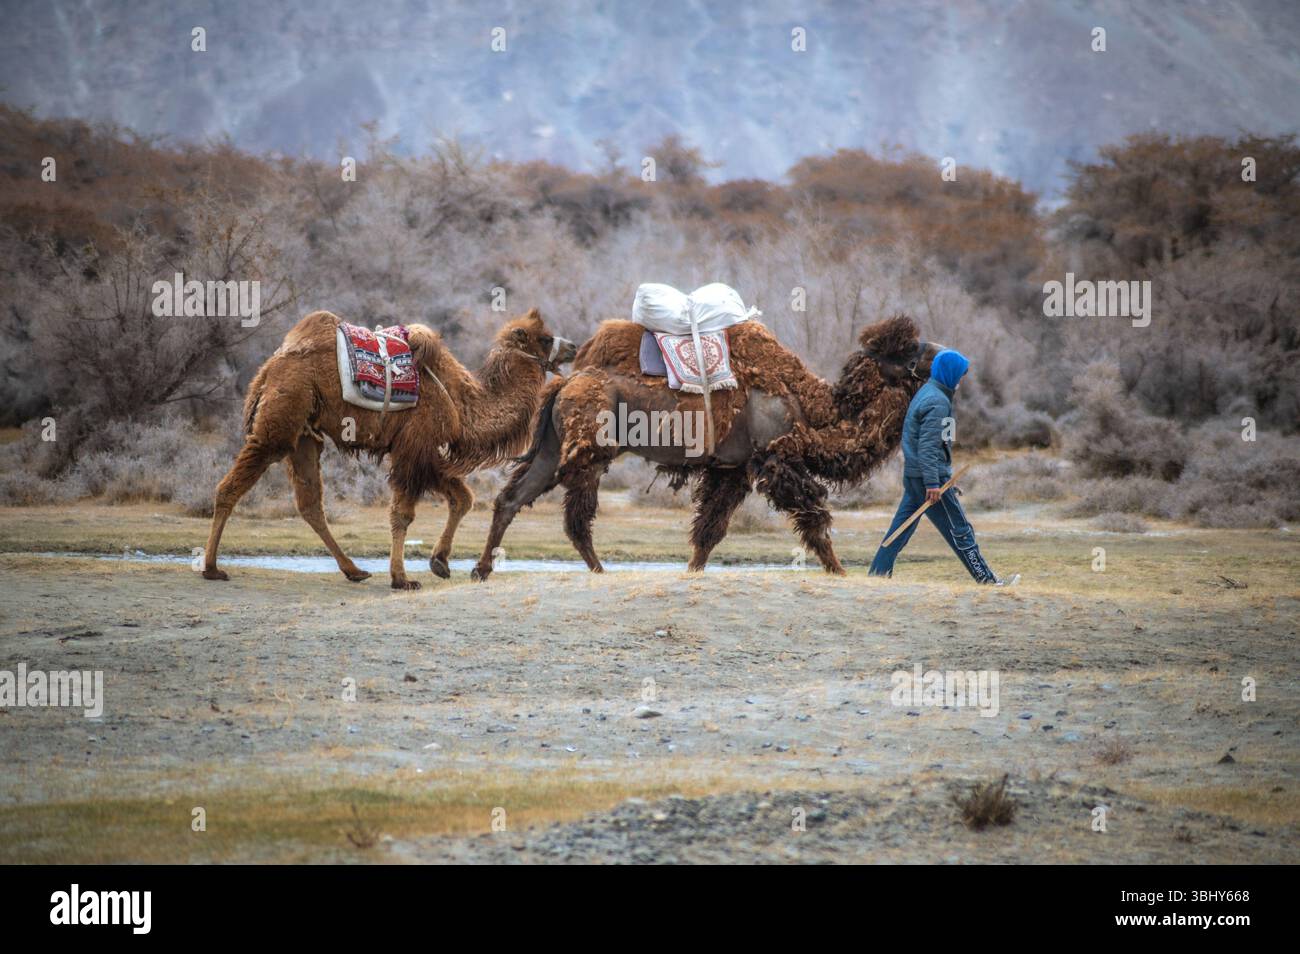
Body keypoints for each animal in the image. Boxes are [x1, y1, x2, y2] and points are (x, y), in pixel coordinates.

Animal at [201, 308, 575, 589]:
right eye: (544, 338)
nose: (572, 345)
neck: (462, 402)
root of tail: (269, 368)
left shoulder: (425, 454)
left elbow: (463, 499)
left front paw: (439, 562)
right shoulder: (415, 447)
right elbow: (404, 514)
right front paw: (402, 578)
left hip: (306, 434)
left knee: (309, 504)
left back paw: (354, 570)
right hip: (282, 417)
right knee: (231, 485)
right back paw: (212, 568)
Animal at [470, 314, 938, 579]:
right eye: (907, 351)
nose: (941, 352)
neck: (809, 404)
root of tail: (563, 384)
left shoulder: (731, 468)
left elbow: (710, 530)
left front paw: (691, 570)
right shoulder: (776, 458)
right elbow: (815, 517)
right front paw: (838, 570)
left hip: (553, 447)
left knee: (512, 498)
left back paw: (480, 569)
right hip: (590, 451)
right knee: (575, 517)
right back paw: (599, 569)